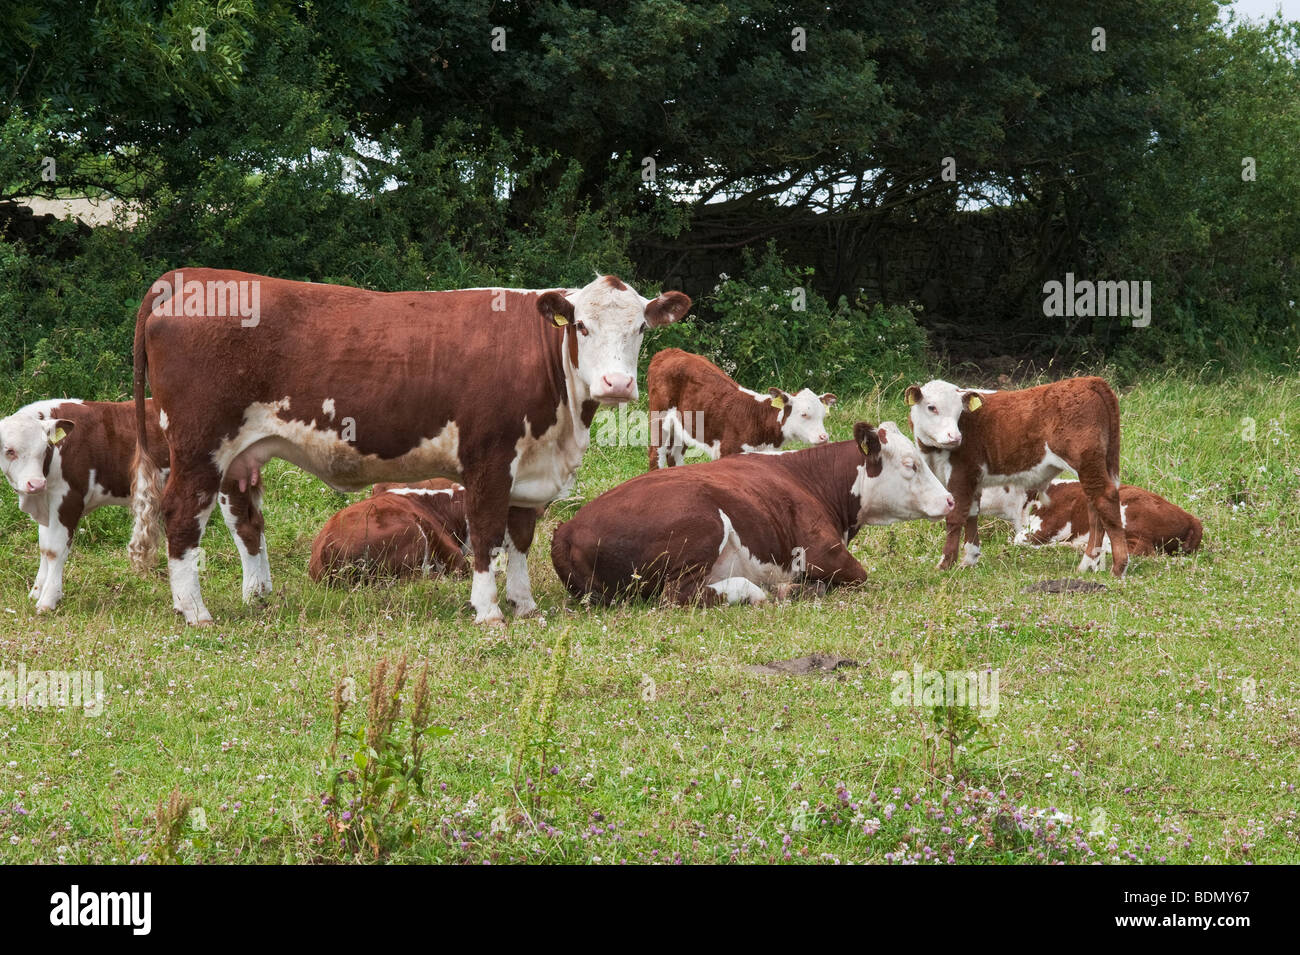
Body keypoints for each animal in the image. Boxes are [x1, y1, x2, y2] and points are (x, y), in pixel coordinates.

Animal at [0, 398, 263, 612]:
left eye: (44, 449)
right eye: (9, 450)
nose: (35, 483)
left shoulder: (68, 498)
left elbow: (55, 550)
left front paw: (47, 601)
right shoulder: (46, 502)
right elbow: (44, 548)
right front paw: (36, 592)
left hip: (230, 482)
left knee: (244, 529)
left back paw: (250, 596)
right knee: (257, 524)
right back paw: (262, 591)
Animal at [551, 421, 954, 606]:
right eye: (911, 464)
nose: (950, 500)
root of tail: (567, 529)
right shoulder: (822, 552)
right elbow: (859, 575)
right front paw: (796, 587)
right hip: (703, 523)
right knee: (679, 595)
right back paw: (758, 591)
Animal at [646, 348, 835, 469]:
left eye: (823, 416)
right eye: (804, 414)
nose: (824, 437)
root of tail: (669, 351)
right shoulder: (728, 450)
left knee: (674, 454)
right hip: (659, 418)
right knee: (656, 454)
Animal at [903, 376, 1128, 576]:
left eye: (959, 412)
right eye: (932, 407)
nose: (955, 437)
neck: (931, 452)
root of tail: (1090, 381)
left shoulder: (962, 472)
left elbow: (955, 516)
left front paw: (945, 563)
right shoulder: (974, 478)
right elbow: (972, 514)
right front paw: (970, 559)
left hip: (1086, 461)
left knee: (1104, 498)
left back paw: (1119, 567)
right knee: (1094, 506)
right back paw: (1087, 564)